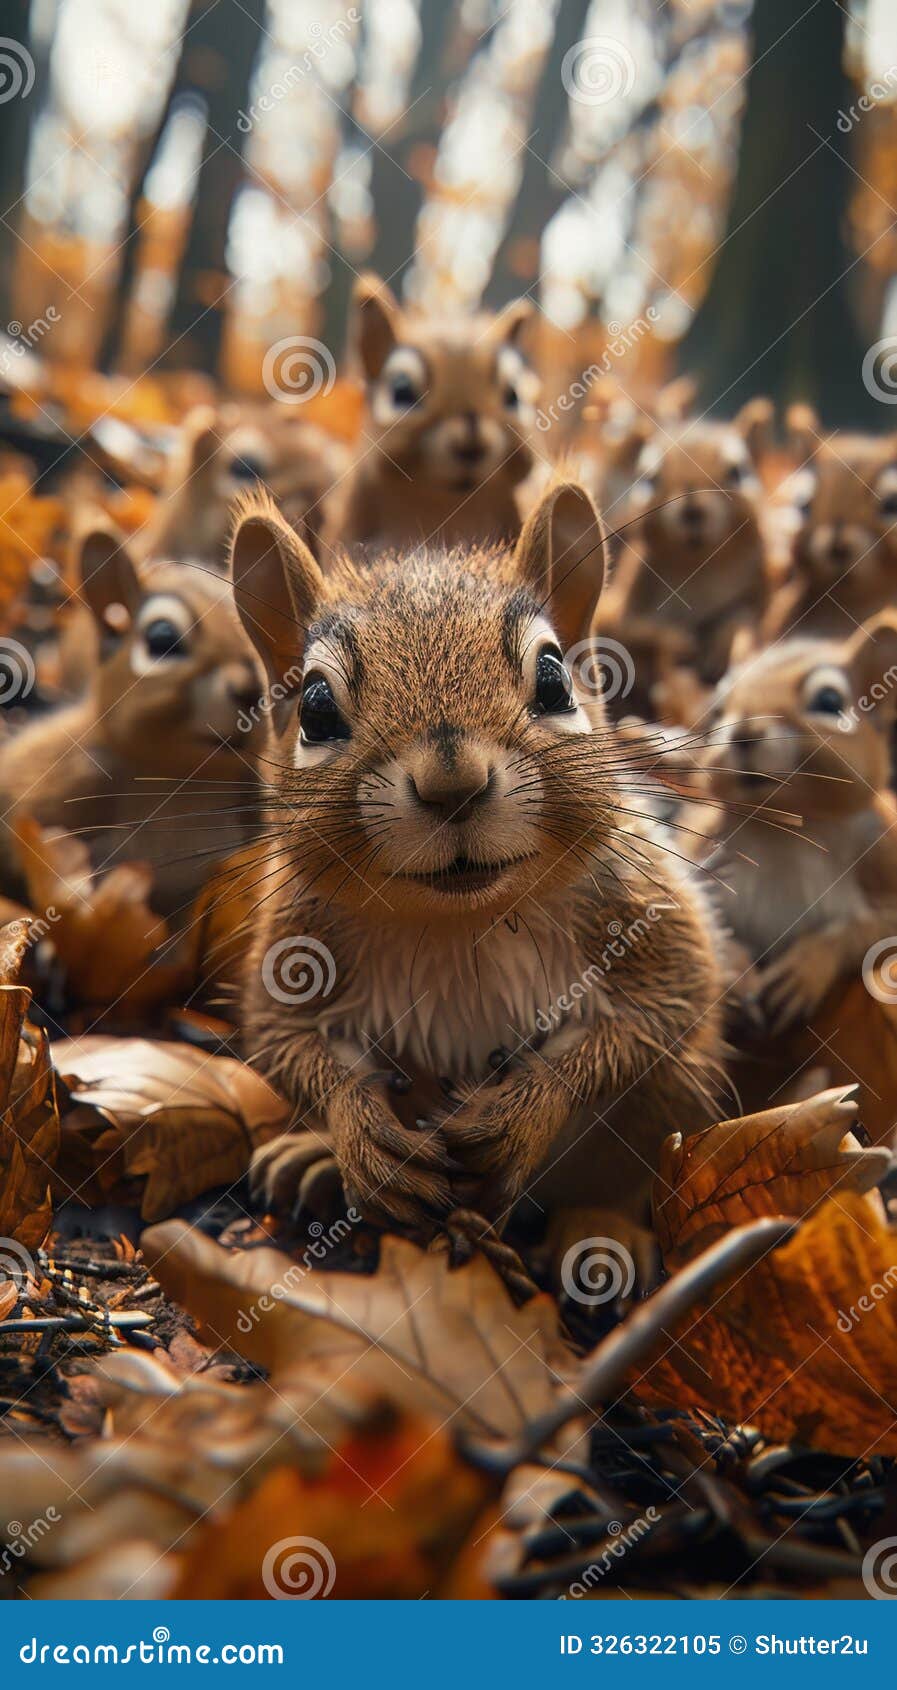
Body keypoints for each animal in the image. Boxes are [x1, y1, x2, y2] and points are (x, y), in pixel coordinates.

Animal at [230, 481, 728, 1270]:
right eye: (313, 709)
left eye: (554, 681)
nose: (452, 783)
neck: (461, 918)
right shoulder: (295, 947)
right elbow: (286, 1041)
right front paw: (357, 1136)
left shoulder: (643, 913)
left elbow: (662, 1006)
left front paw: (526, 1109)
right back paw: (312, 1159)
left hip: (669, 1100)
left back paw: (601, 1229)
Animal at [593, 402, 774, 715]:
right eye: (649, 477)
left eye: (737, 471)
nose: (693, 510)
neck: (696, 563)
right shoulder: (624, 590)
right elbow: (627, 625)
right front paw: (677, 639)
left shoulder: (757, 586)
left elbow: (744, 619)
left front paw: (723, 644)